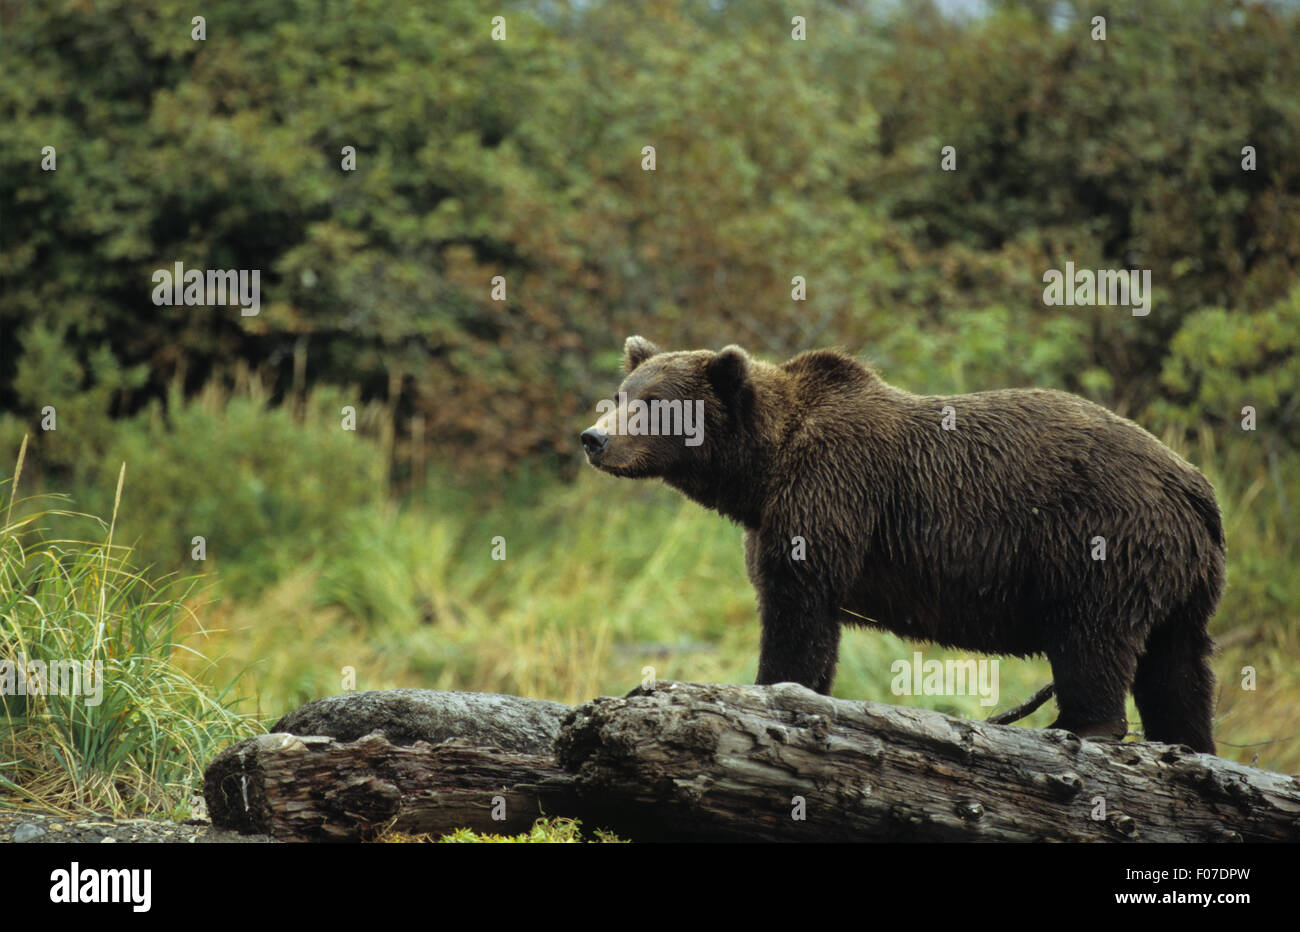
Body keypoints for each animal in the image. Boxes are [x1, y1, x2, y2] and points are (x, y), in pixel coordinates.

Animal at [580, 336, 1225, 753]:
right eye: (620, 394)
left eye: (657, 404)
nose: (593, 438)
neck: (762, 471)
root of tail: (1194, 486)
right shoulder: (779, 518)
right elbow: (808, 624)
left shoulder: (831, 492)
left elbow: (797, 612)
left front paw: (769, 690)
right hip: (1180, 574)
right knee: (1179, 668)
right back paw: (1186, 742)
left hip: (1100, 540)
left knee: (1093, 637)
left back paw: (1080, 728)